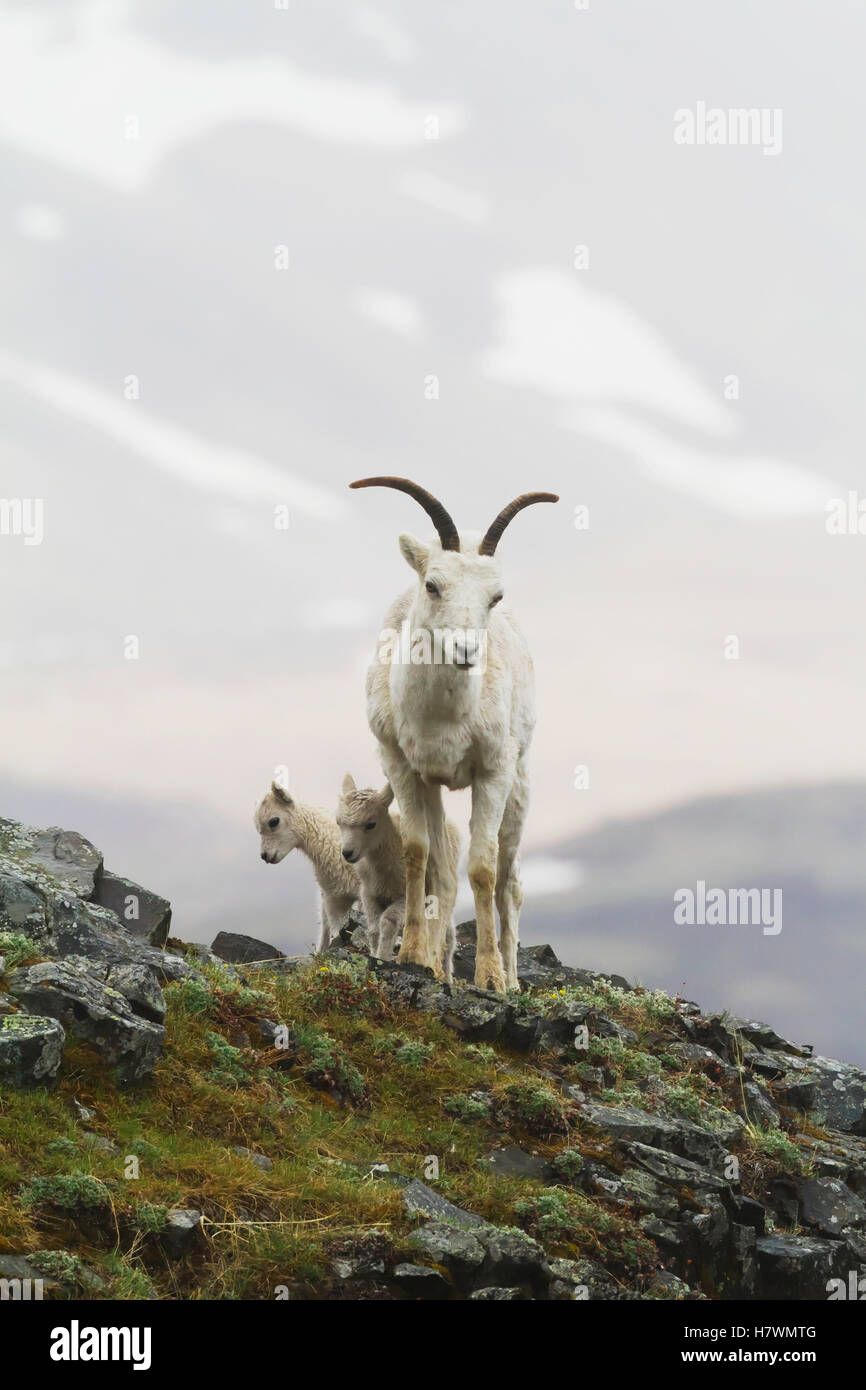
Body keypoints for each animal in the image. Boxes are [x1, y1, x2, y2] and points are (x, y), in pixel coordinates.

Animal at [336, 774, 461, 979]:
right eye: (339, 822)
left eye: (371, 824)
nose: (347, 853)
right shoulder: (369, 893)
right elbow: (373, 928)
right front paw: (375, 953)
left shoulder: (407, 896)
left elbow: (388, 921)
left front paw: (383, 956)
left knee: (448, 935)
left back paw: (446, 974)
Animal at [350, 477, 558, 992]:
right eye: (433, 584)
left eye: (495, 597)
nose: (465, 651)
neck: (441, 717)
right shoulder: (404, 768)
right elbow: (418, 855)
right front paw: (413, 957)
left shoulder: (493, 773)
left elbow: (483, 870)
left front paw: (490, 978)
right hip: (437, 789)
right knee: (443, 875)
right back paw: (438, 966)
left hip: (519, 788)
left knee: (510, 884)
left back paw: (513, 978)